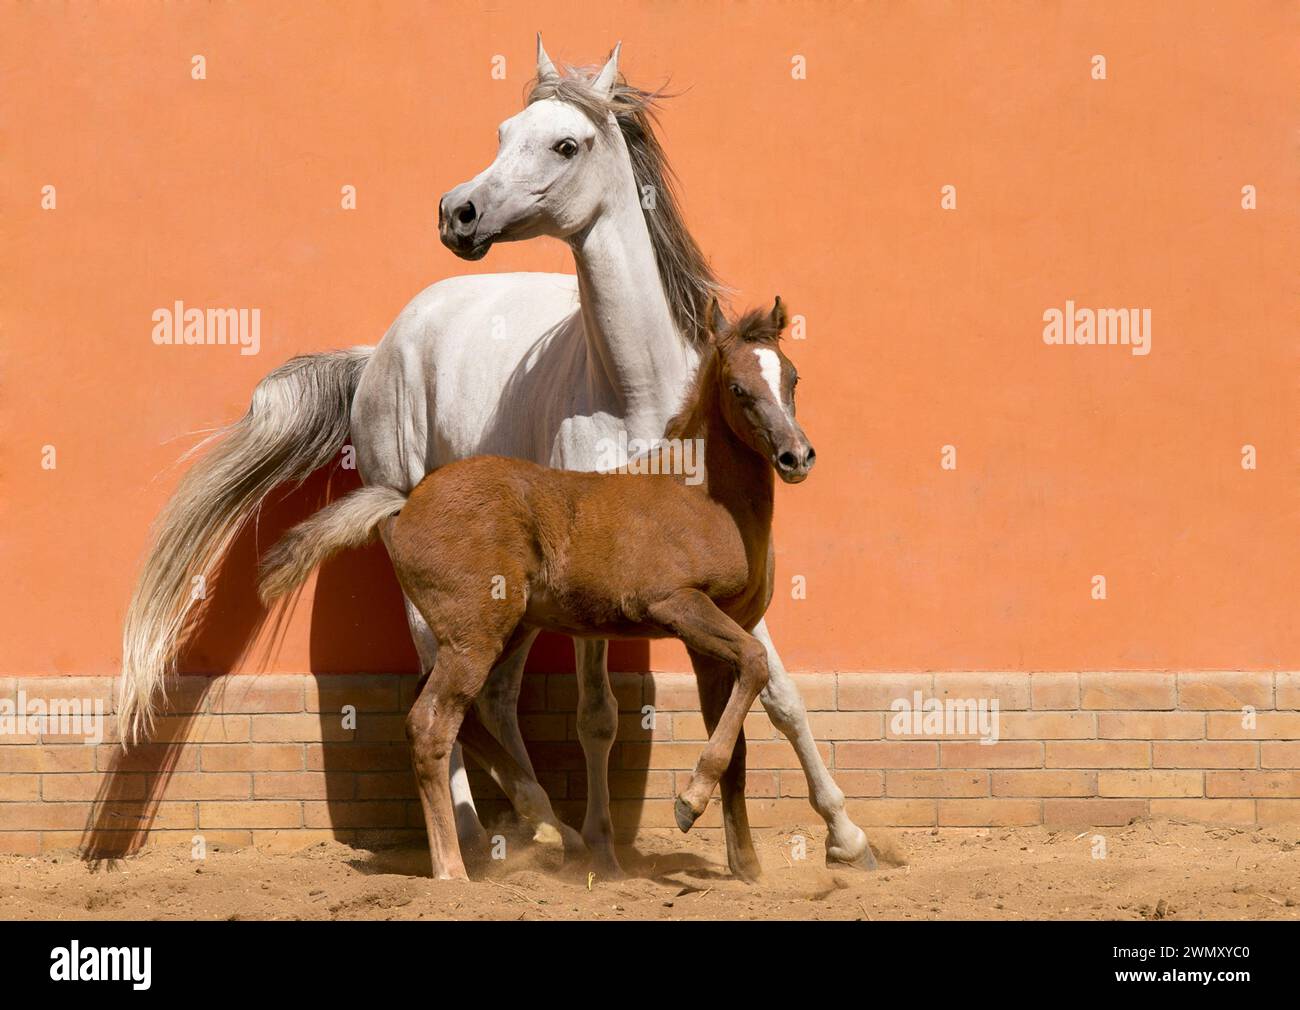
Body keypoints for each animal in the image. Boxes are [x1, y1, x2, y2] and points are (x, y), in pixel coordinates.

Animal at [258, 299, 808, 880]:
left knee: (459, 709)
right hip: (477, 636)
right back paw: (453, 869)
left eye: (793, 377)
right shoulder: (678, 606)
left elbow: (739, 739)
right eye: (738, 388)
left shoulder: (717, 636)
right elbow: (755, 663)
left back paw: (551, 828)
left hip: (502, 630)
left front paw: (747, 867)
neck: (700, 496)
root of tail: (404, 503)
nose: (797, 456)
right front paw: (688, 803)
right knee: (430, 724)